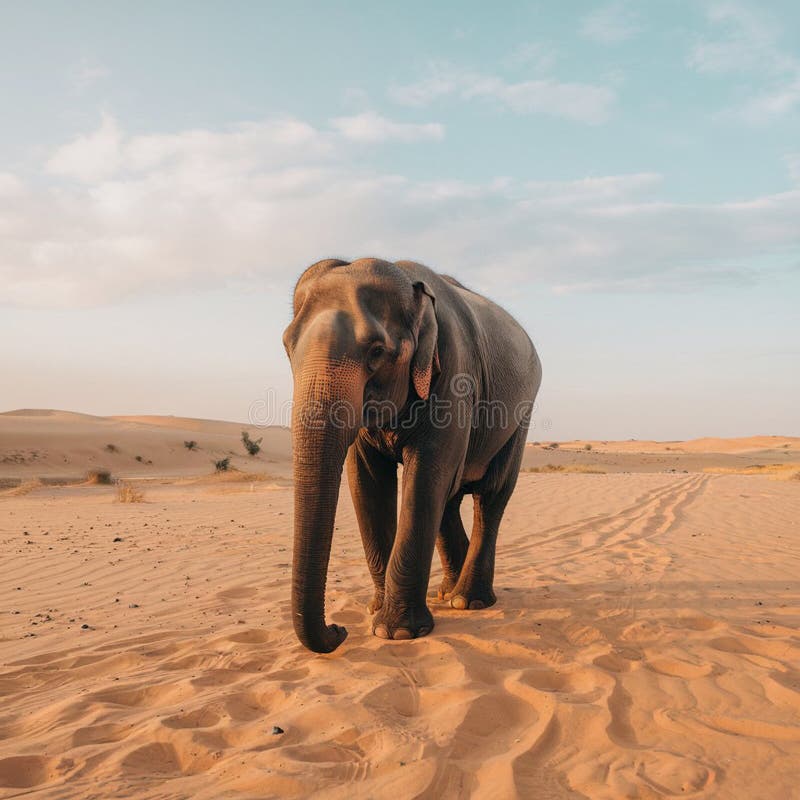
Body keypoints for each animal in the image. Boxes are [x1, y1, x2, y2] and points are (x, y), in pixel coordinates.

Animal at [283, 257, 542, 653]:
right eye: (287, 346)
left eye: (376, 352)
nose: (338, 630)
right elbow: (369, 484)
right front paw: (376, 610)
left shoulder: (454, 373)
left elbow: (425, 477)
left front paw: (396, 632)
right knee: (450, 496)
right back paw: (447, 592)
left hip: (520, 415)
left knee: (490, 495)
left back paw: (467, 600)